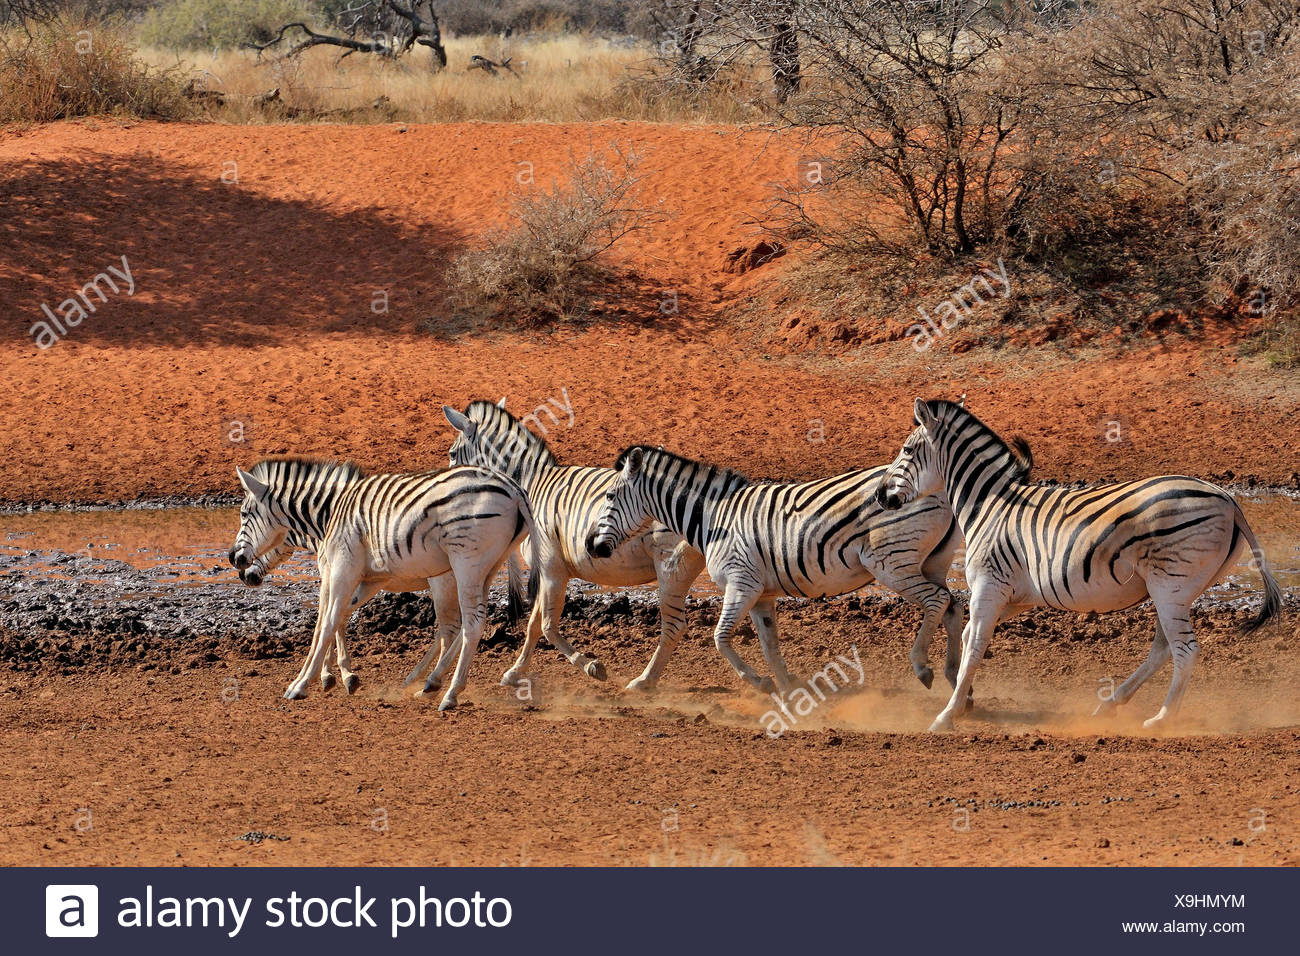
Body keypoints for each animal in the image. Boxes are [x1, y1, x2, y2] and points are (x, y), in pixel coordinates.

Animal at [228, 457, 536, 709]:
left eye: (243, 514)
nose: (234, 560)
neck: (330, 513)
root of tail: (514, 488)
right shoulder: (368, 578)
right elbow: (334, 620)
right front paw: (336, 676)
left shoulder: (341, 569)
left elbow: (326, 623)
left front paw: (305, 683)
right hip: (487, 567)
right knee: (464, 626)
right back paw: (430, 683)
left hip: (463, 566)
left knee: (467, 625)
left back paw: (448, 693)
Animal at [443, 399, 707, 690]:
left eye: (452, 454)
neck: (530, 484)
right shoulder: (548, 572)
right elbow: (534, 625)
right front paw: (515, 672)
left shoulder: (552, 569)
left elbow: (547, 626)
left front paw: (592, 666)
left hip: (670, 571)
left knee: (673, 626)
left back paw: (644, 681)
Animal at [583, 445, 965, 696]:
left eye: (610, 497)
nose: (589, 544)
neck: (713, 518)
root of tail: (940, 491)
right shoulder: (762, 594)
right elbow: (771, 645)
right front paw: (788, 691)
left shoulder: (741, 583)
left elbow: (720, 638)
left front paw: (761, 683)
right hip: (930, 562)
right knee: (953, 605)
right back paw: (957, 679)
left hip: (891, 561)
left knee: (936, 601)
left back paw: (924, 667)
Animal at [876, 398, 1284, 731]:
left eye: (907, 449)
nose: (880, 496)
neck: (989, 505)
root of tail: (1228, 499)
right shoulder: (1013, 596)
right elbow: (968, 638)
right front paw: (963, 698)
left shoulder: (990, 587)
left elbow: (975, 644)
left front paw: (946, 714)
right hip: (1177, 591)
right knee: (1163, 649)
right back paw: (1113, 704)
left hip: (1170, 587)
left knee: (1185, 650)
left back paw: (1163, 719)